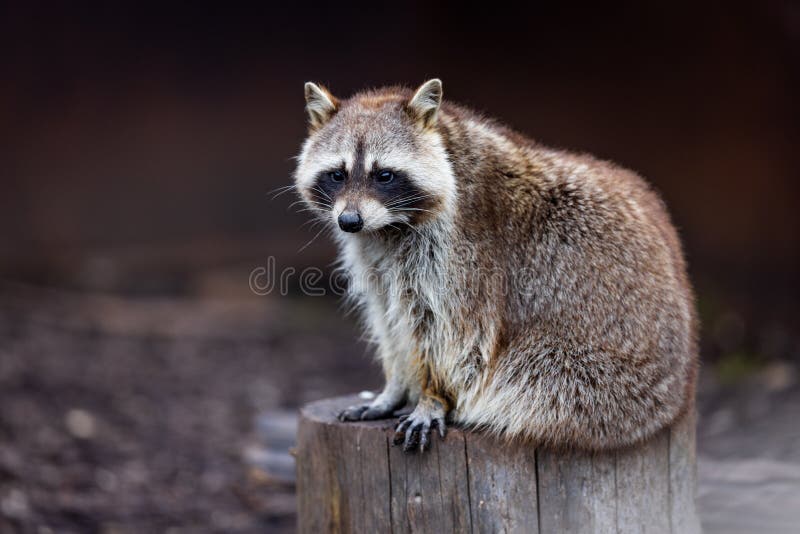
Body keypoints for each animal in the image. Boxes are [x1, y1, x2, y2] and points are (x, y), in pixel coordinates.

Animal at [293, 79, 698, 452]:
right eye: (338, 174)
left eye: (384, 175)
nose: (349, 221)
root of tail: (679, 395)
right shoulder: (374, 254)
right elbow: (390, 322)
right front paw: (394, 388)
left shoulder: (463, 248)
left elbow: (457, 335)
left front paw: (432, 397)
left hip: (598, 381)